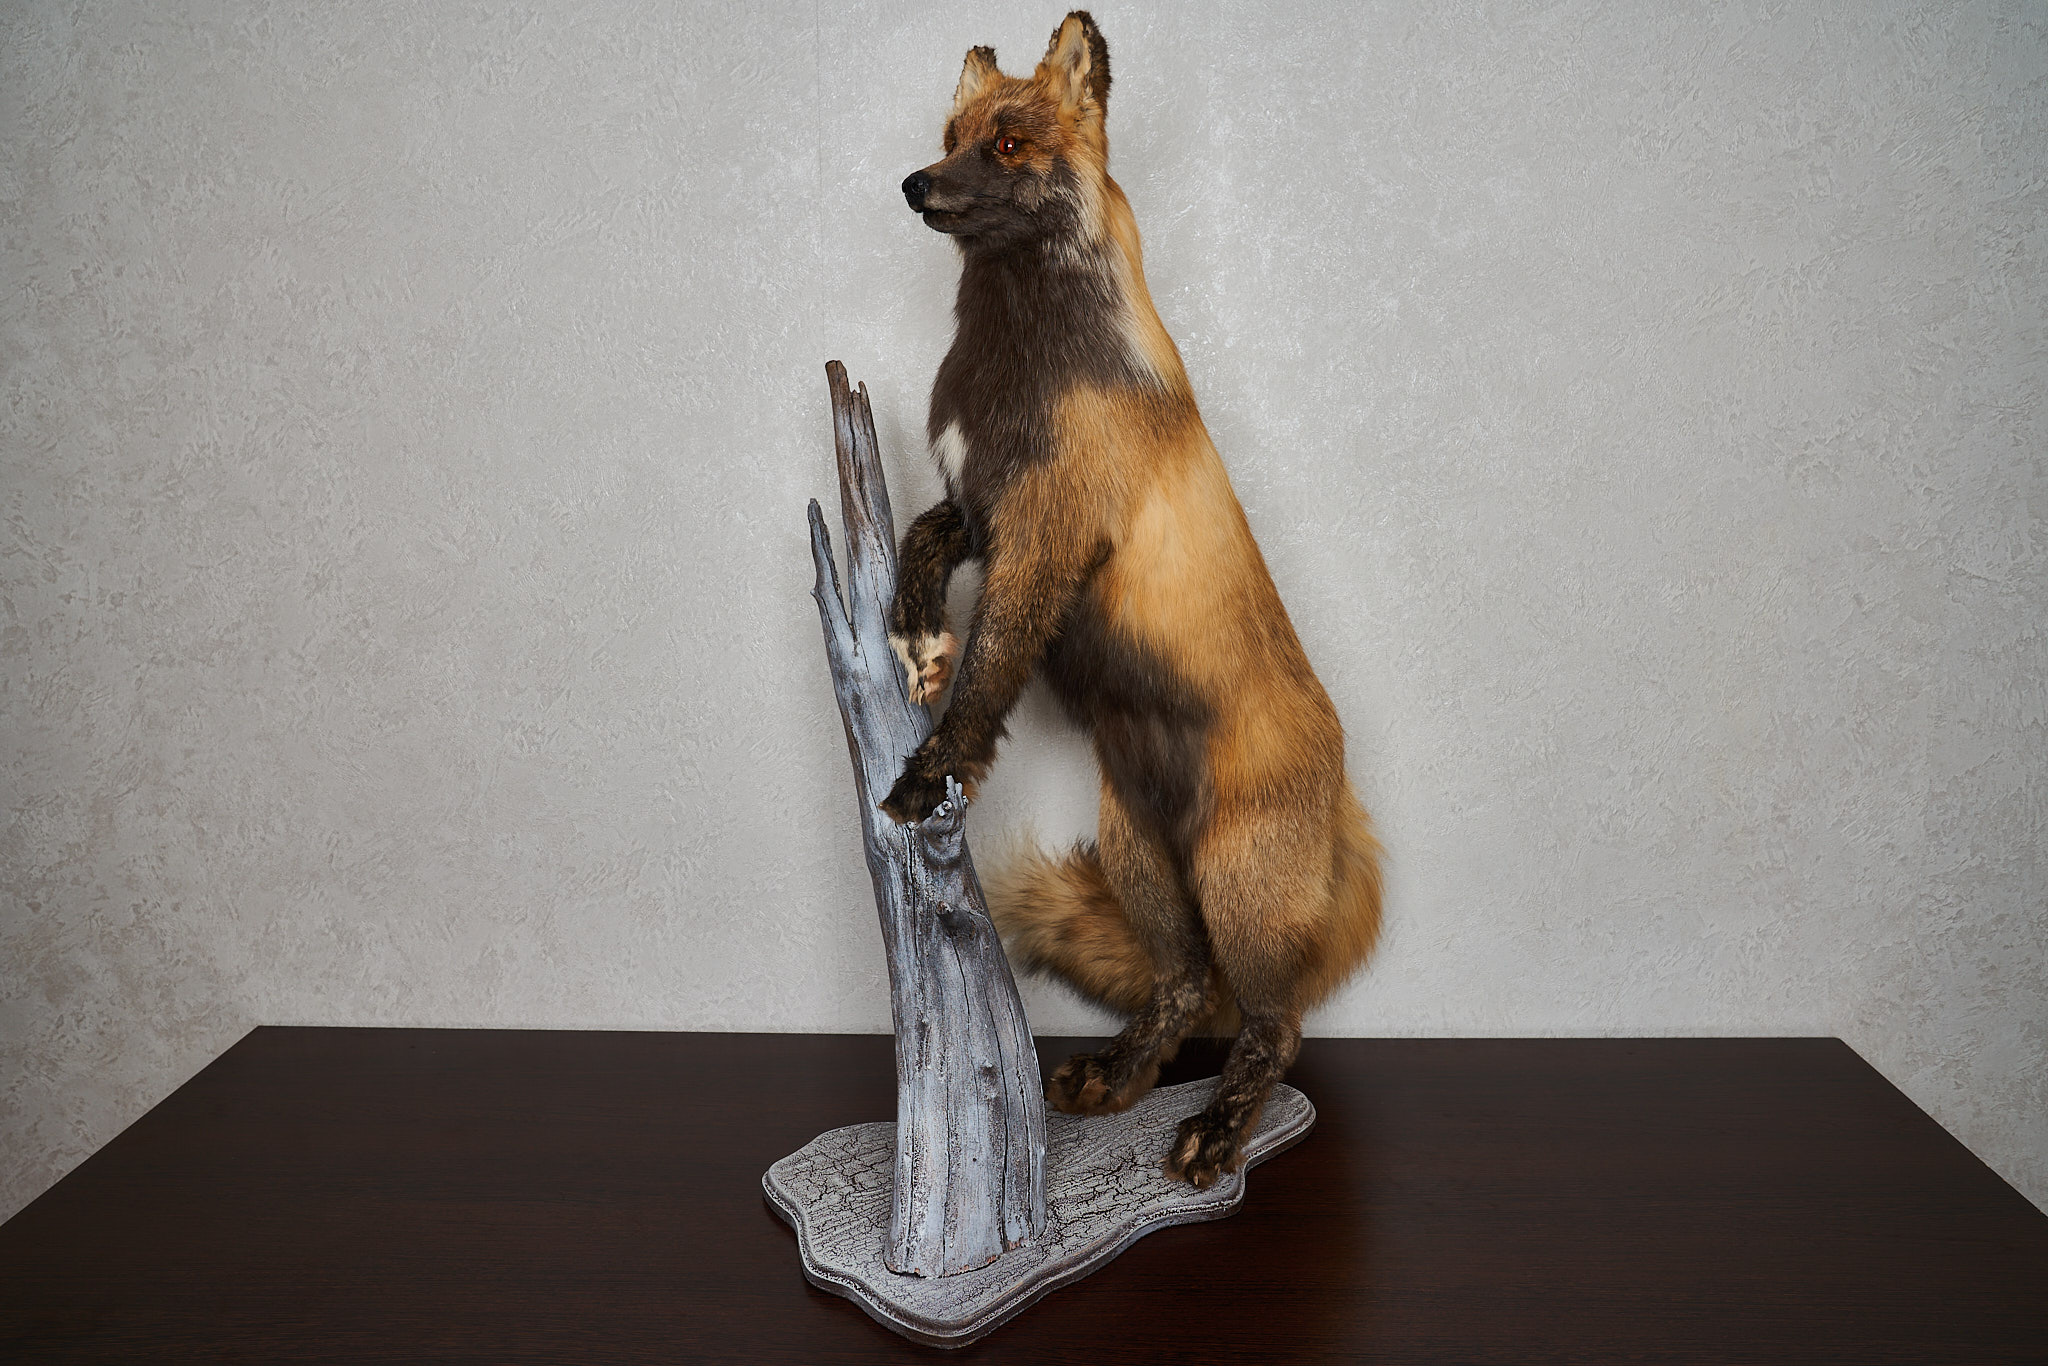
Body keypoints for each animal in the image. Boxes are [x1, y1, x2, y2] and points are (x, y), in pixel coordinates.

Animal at [879, 11, 1383, 1189]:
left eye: (1007, 145)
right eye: (950, 137)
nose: (915, 184)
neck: (1012, 365)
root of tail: (1342, 793)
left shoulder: (1046, 541)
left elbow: (990, 670)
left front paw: (930, 770)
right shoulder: (980, 508)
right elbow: (920, 541)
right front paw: (913, 634)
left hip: (1236, 889)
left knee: (1275, 1022)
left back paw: (1217, 1129)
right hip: (1140, 859)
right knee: (1184, 987)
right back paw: (1119, 1079)